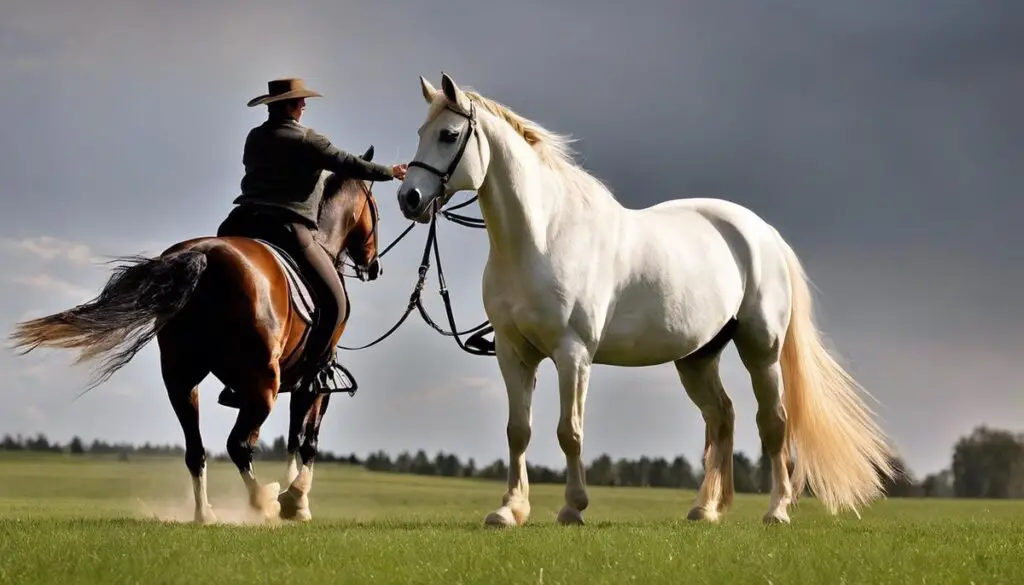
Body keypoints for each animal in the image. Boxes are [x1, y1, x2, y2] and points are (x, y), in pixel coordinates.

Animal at [8, 146, 382, 524]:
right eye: (376, 211)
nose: (374, 267)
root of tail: (203, 255)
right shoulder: (317, 383)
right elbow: (306, 441)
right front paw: (297, 501)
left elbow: (294, 438)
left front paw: (293, 498)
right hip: (263, 383)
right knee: (239, 444)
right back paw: (263, 501)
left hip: (182, 379)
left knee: (196, 450)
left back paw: (206, 514)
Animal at [396, 73, 897, 527]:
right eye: (419, 132)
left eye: (448, 134)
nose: (409, 197)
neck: (542, 238)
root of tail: (763, 234)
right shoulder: (512, 352)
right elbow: (519, 431)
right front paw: (509, 511)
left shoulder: (573, 354)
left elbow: (569, 432)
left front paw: (573, 509)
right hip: (697, 359)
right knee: (722, 418)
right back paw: (705, 510)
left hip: (761, 351)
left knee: (772, 424)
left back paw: (776, 511)